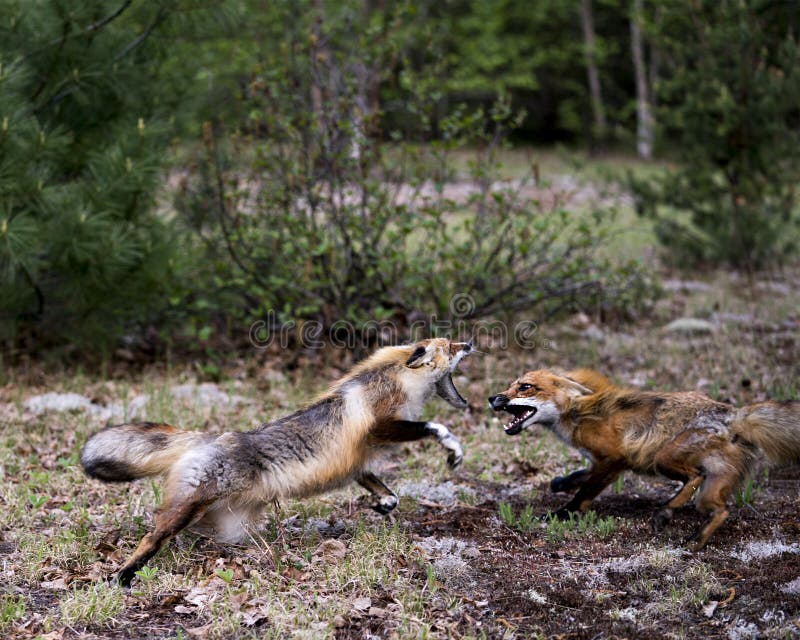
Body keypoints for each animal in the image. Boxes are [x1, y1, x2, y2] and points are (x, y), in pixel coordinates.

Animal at [81, 338, 472, 585]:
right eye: (450, 346)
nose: (469, 343)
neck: (396, 382)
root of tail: (212, 437)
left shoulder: (356, 463)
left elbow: (383, 488)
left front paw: (384, 503)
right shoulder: (377, 428)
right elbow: (434, 426)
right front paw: (452, 446)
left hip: (226, 522)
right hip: (191, 507)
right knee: (152, 534)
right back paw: (123, 576)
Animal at [488, 369, 800, 550]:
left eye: (525, 387)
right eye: (510, 385)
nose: (493, 398)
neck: (576, 412)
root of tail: (733, 413)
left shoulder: (613, 459)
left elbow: (584, 493)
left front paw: (561, 513)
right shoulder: (599, 462)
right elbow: (577, 477)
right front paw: (560, 483)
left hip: (665, 458)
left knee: (694, 478)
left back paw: (667, 512)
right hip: (713, 486)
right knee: (720, 509)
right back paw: (695, 539)